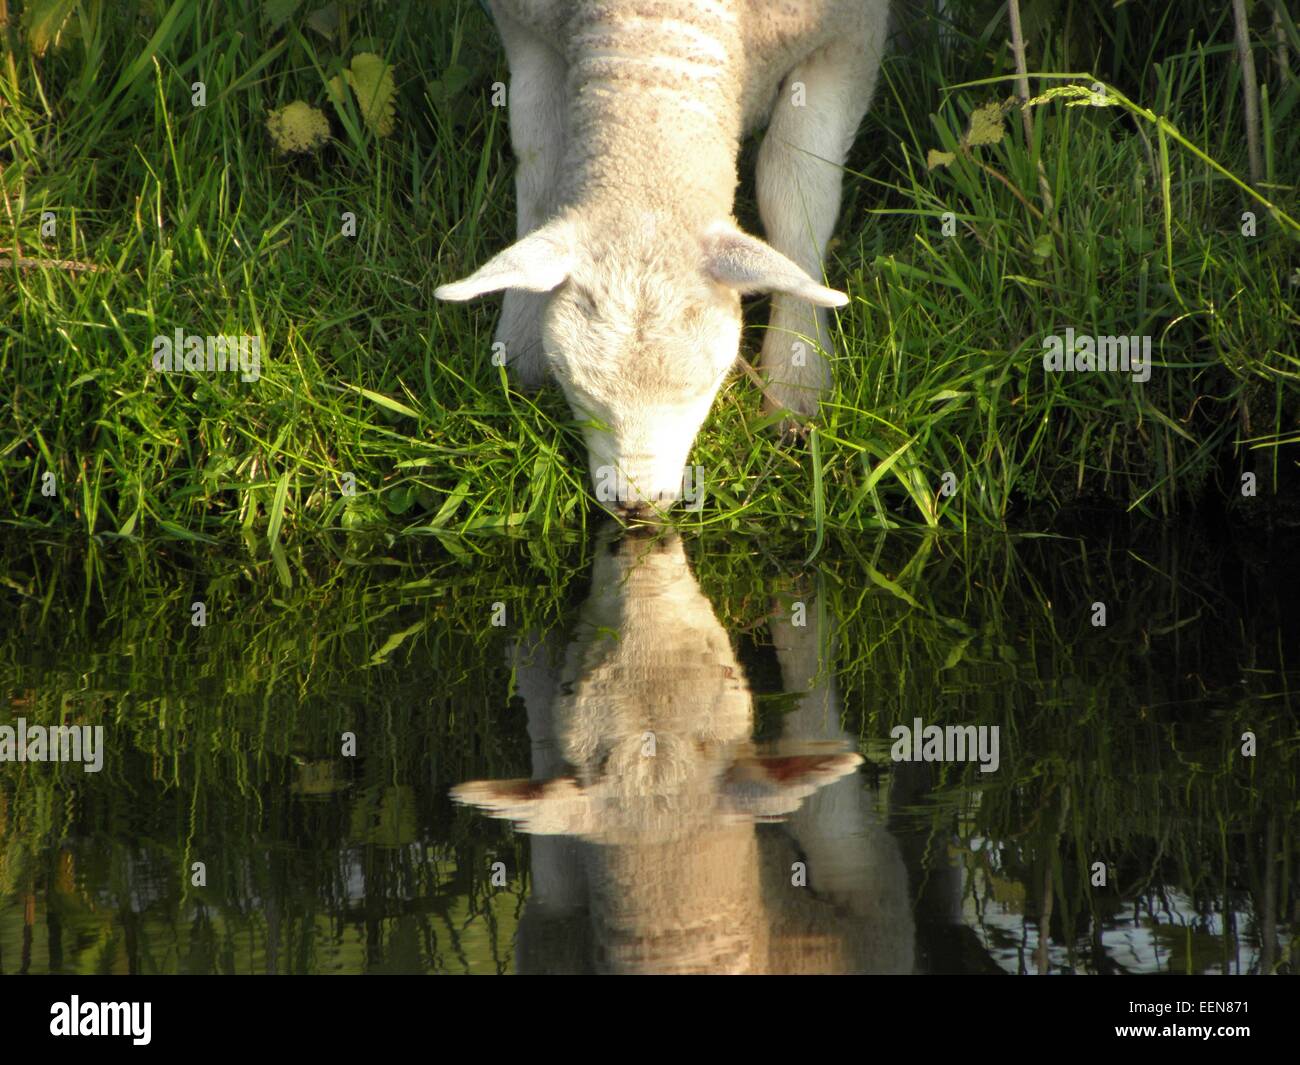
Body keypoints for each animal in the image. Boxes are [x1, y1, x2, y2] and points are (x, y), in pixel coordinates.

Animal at [436, 0, 890, 516]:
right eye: (574, 385)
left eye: (707, 383)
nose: (635, 503)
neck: (648, 37)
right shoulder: (526, 31)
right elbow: (539, 170)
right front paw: (519, 345)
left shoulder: (847, 36)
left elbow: (796, 188)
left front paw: (798, 378)